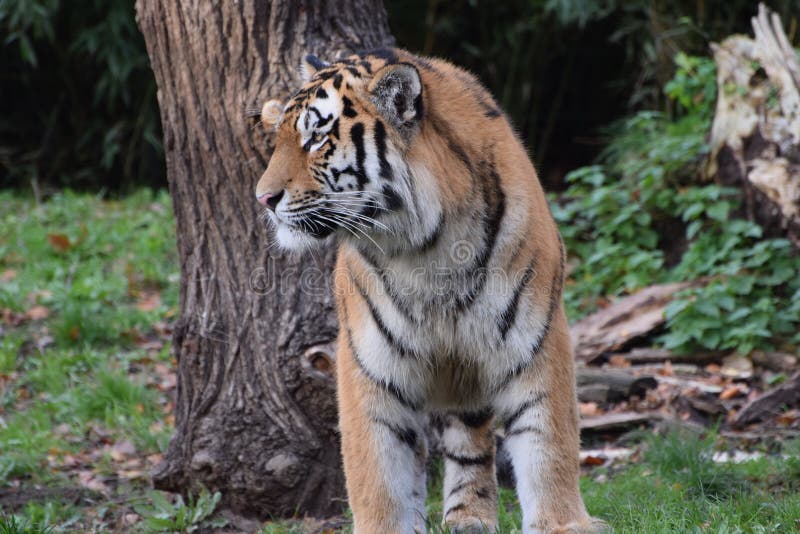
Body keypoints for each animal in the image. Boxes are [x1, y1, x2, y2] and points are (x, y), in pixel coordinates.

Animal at [254, 48, 606, 534]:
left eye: (317, 139)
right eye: (280, 139)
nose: (263, 199)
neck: (426, 250)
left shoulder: (536, 340)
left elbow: (550, 444)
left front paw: (562, 523)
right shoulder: (370, 362)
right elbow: (376, 472)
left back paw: (470, 518)